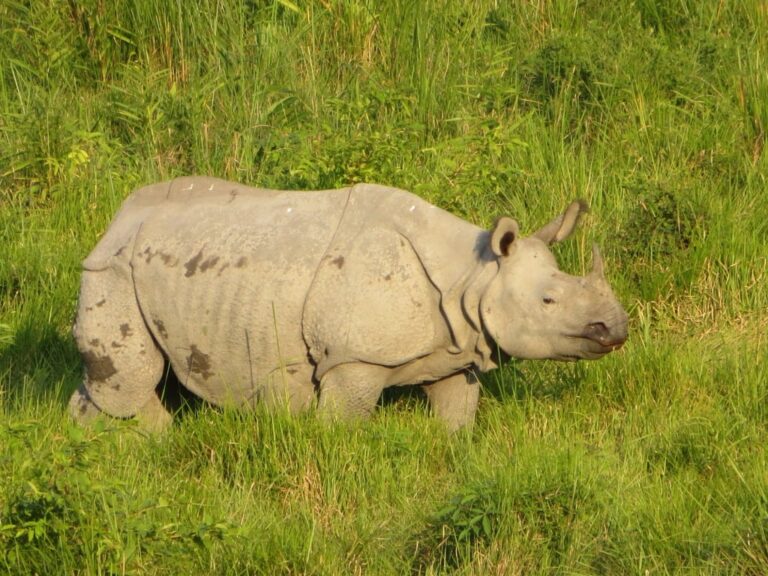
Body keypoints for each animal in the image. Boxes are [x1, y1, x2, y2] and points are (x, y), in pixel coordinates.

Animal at [69, 176, 628, 431]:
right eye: (549, 299)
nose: (616, 329)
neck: (474, 275)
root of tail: (115, 221)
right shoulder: (353, 358)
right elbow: (345, 421)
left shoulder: (456, 348)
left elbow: (456, 413)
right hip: (112, 267)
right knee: (131, 377)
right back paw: (154, 442)